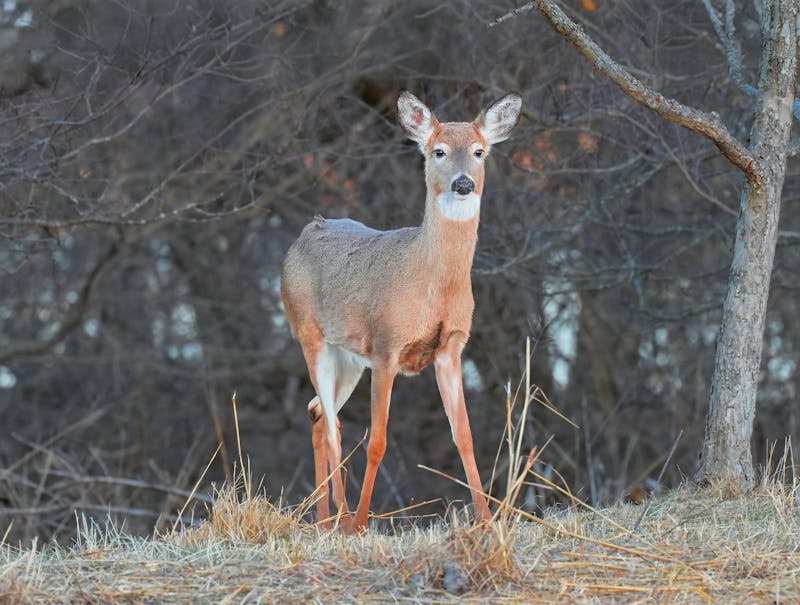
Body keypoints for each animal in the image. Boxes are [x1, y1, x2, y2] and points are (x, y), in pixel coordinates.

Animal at [281, 91, 521, 533]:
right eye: (438, 151)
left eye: (479, 151)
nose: (464, 183)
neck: (432, 284)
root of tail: (306, 232)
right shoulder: (386, 347)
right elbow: (377, 440)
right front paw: (361, 524)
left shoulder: (450, 348)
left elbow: (464, 434)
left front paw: (486, 520)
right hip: (310, 333)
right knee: (333, 423)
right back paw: (344, 520)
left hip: (348, 356)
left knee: (319, 414)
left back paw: (324, 522)